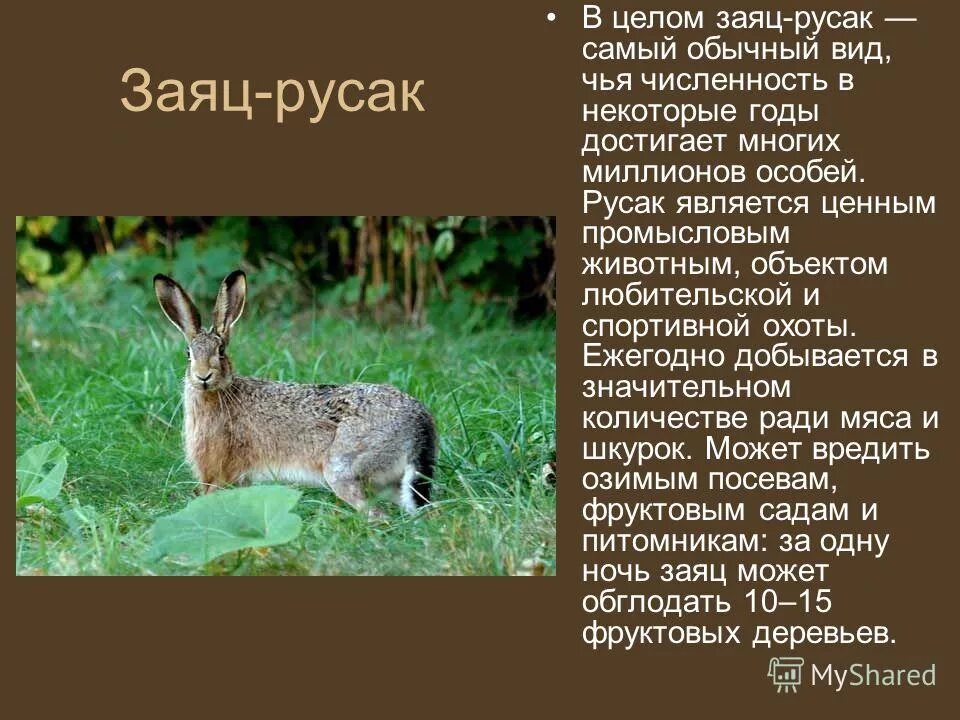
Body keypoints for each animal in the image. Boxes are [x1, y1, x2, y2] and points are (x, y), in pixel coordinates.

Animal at [153, 270, 436, 515]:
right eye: (188, 354)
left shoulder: (215, 472)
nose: (203, 377)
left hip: (343, 469)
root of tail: (419, 426)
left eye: (221, 351)